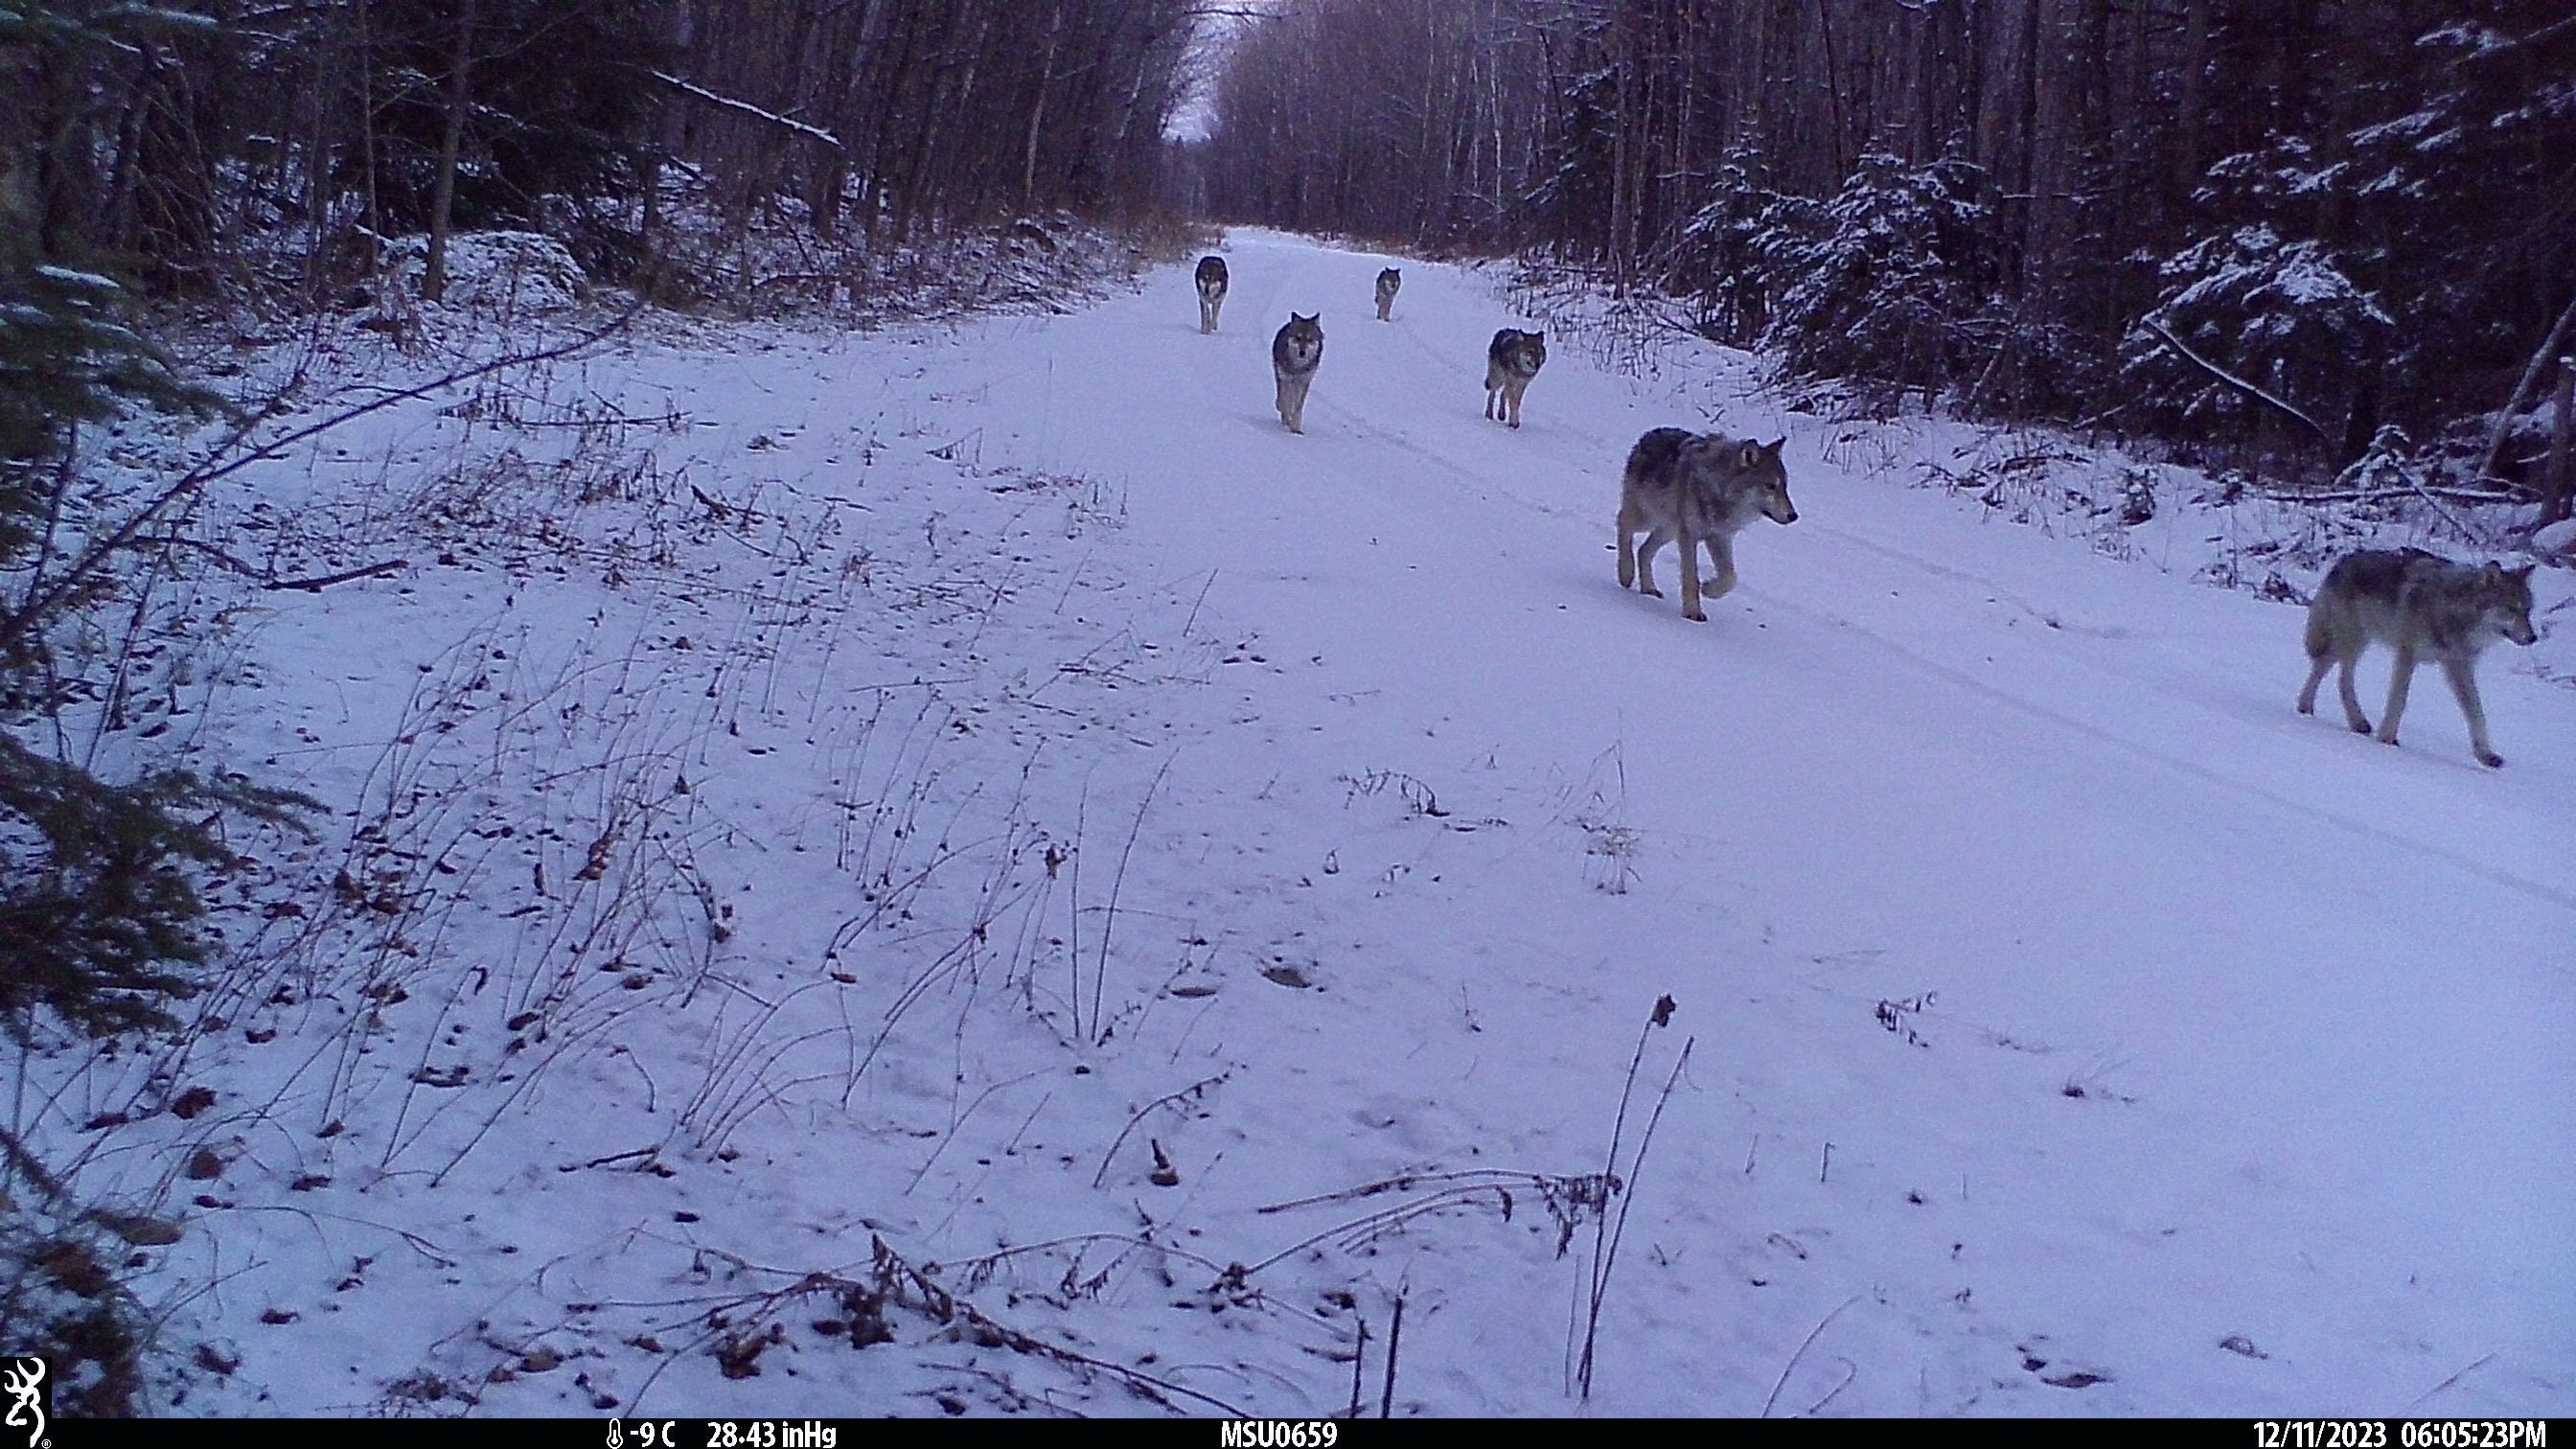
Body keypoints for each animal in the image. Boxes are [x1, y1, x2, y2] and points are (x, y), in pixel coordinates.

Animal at [1616, 428, 1795, 622]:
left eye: (1784, 487)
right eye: (1770, 486)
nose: (1793, 516)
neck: (1719, 491)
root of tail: (1648, 434)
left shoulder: (1720, 538)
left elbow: (1730, 577)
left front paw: (1708, 589)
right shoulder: (1689, 535)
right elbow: (1691, 578)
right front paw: (1693, 612)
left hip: (1668, 530)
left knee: (1643, 550)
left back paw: (1649, 588)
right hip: (1647, 518)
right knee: (1622, 521)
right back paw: (1626, 572)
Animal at [2296, 547, 2538, 767]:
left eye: (2527, 610)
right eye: (2510, 609)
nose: (2533, 637)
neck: (2452, 611)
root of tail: (2343, 560)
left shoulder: (2460, 667)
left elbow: (2476, 713)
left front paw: (2486, 755)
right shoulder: (2407, 656)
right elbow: (2399, 700)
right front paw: (2387, 738)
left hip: (2359, 642)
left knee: (2341, 677)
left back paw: (2358, 723)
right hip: (2349, 641)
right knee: (2323, 667)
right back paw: (2305, 708)